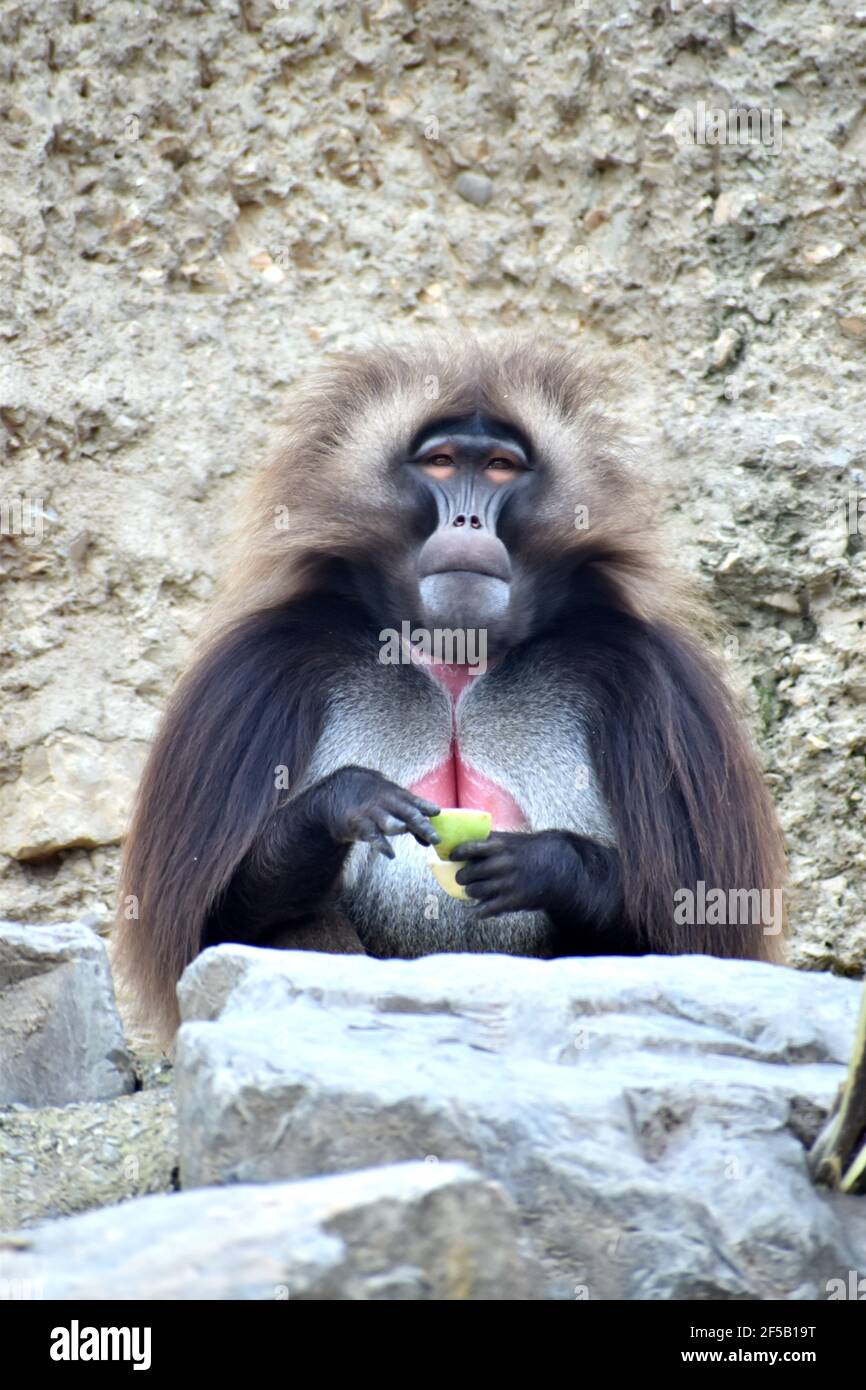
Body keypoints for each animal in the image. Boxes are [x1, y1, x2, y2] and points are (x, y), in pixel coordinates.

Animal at [114, 336, 786, 1038]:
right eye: (440, 463)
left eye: (498, 467)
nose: (466, 521)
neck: (458, 663)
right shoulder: (257, 672)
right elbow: (213, 925)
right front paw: (346, 802)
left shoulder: (656, 685)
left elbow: (696, 933)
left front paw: (547, 865)